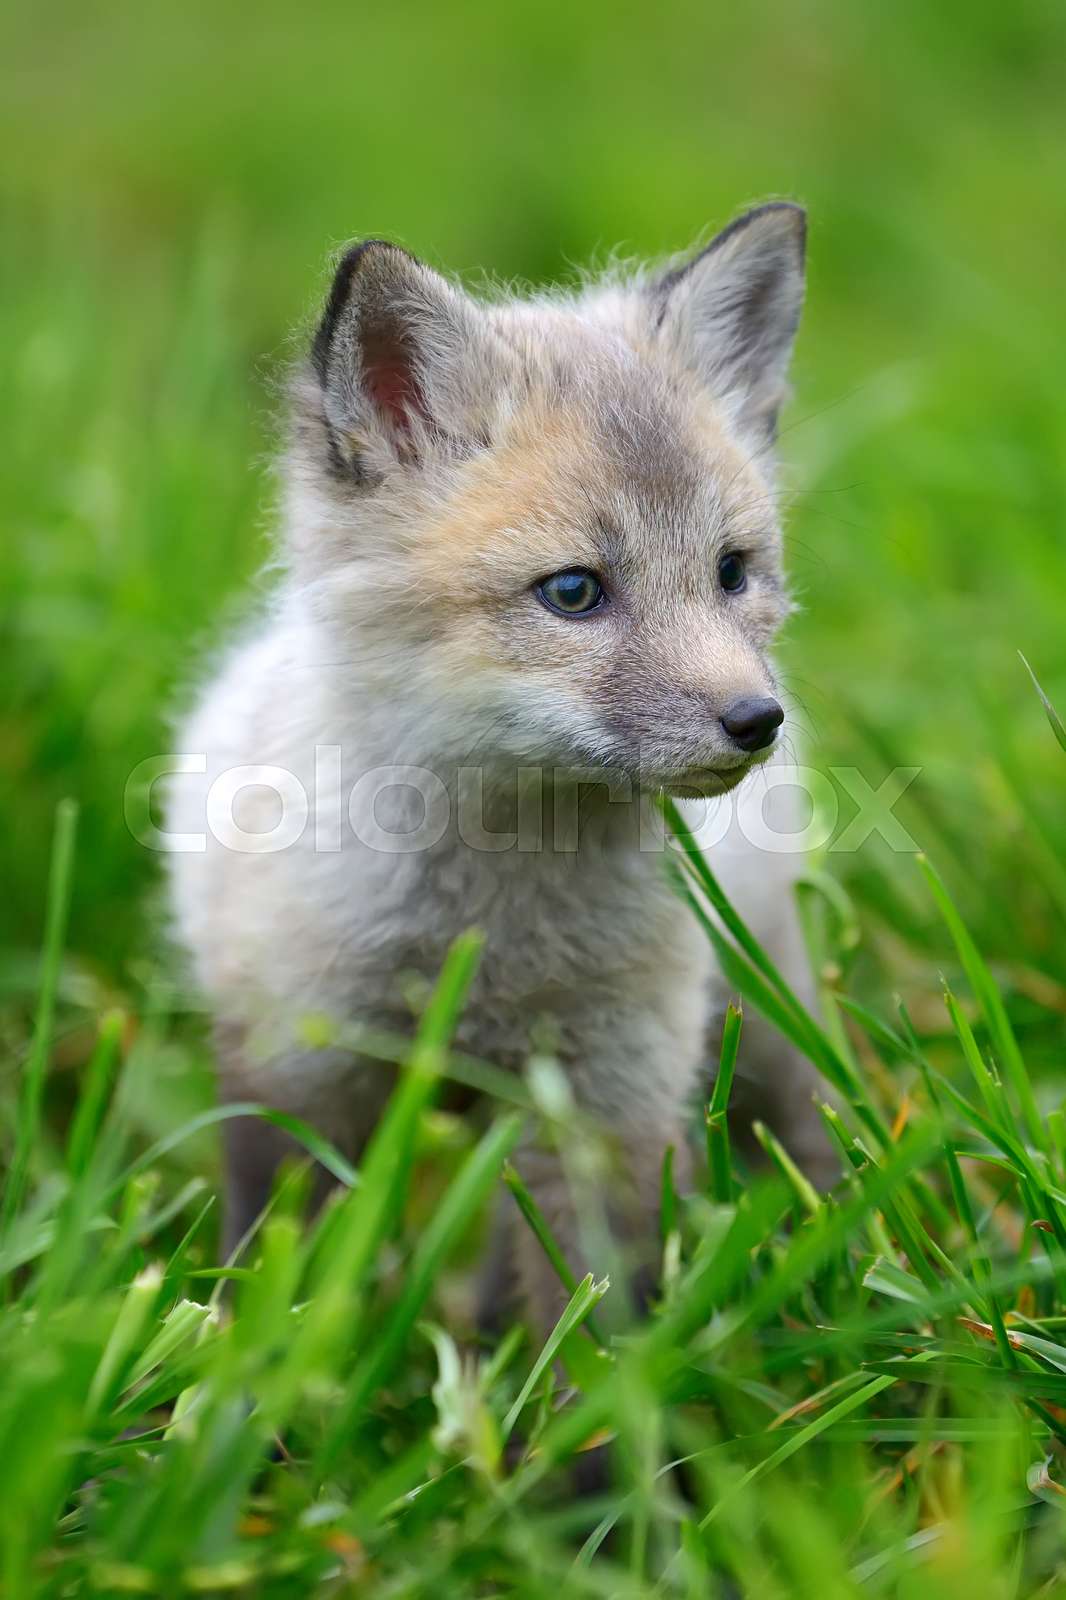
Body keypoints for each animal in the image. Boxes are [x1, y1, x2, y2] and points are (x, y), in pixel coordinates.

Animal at [165, 201, 833, 1330]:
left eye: (732, 572)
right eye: (573, 592)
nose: (757, 719)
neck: (488, 931)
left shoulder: (610, 1094)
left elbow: (593, 1313)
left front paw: (590, 1390)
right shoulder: (297, 1056)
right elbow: (273, 1256)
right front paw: (242, 1369)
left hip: (760, 1008)